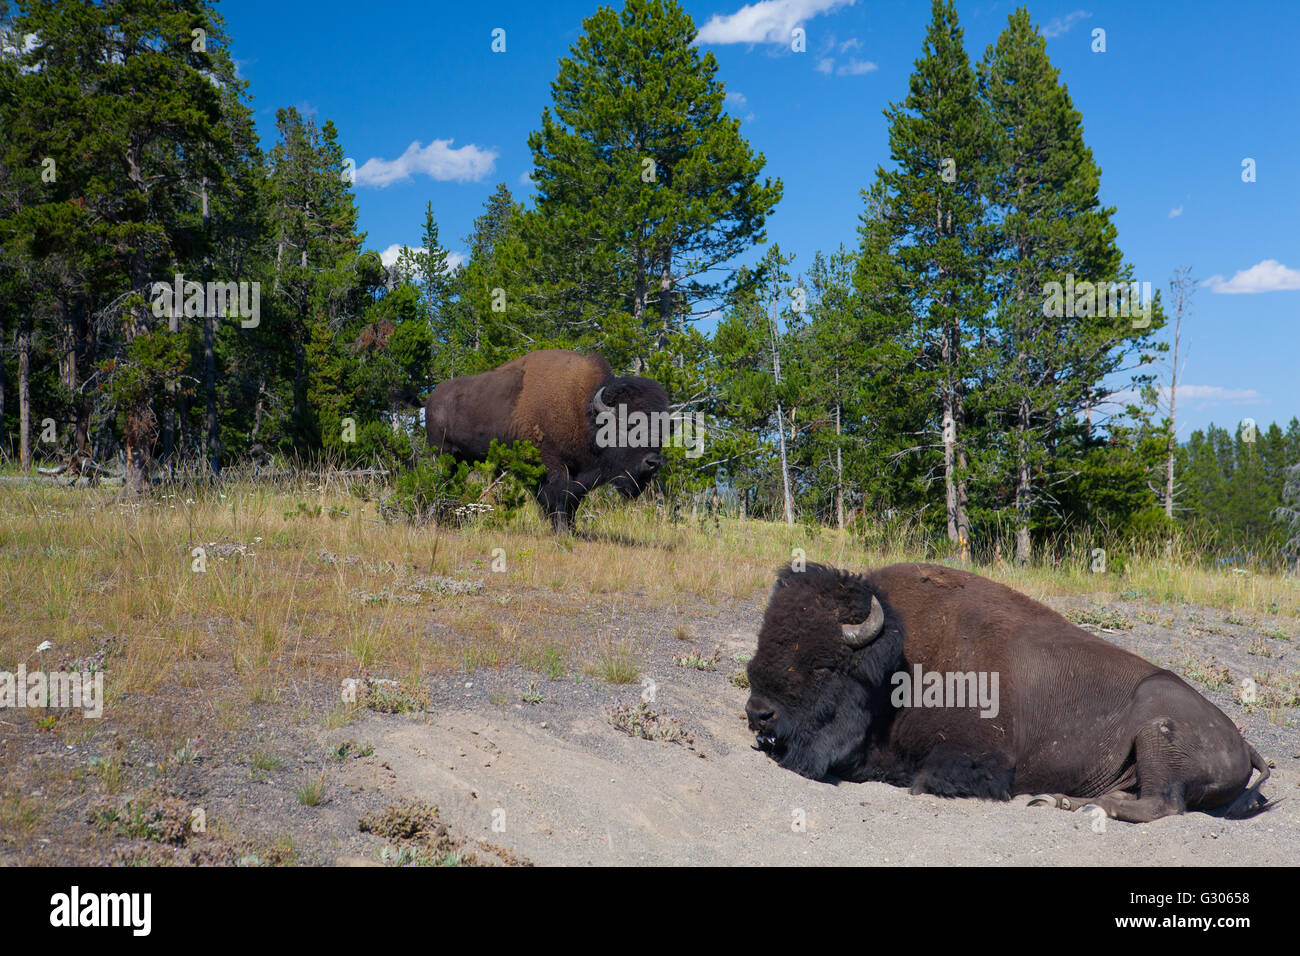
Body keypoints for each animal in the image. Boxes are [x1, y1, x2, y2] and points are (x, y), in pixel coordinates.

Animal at [424, 349, 669, 532]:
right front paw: (561, 530)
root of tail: (433, 396)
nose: (653, 463)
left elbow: (572, 501)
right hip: (443, 454)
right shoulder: (552, 466)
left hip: (461, 459)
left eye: (663, 430)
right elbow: (557, 498)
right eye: (628, 426)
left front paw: (571, 529)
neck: (582, 410)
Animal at [745, 561, 1271, 823]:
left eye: (824, 664)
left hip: (1157, 729)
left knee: (1164, 803)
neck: (899, 660)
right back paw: (1059, 802)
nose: (758, 714)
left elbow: (922, 777)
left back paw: (1082, 807)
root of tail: (1242, 741)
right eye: (763, 641)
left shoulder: (976, 759)